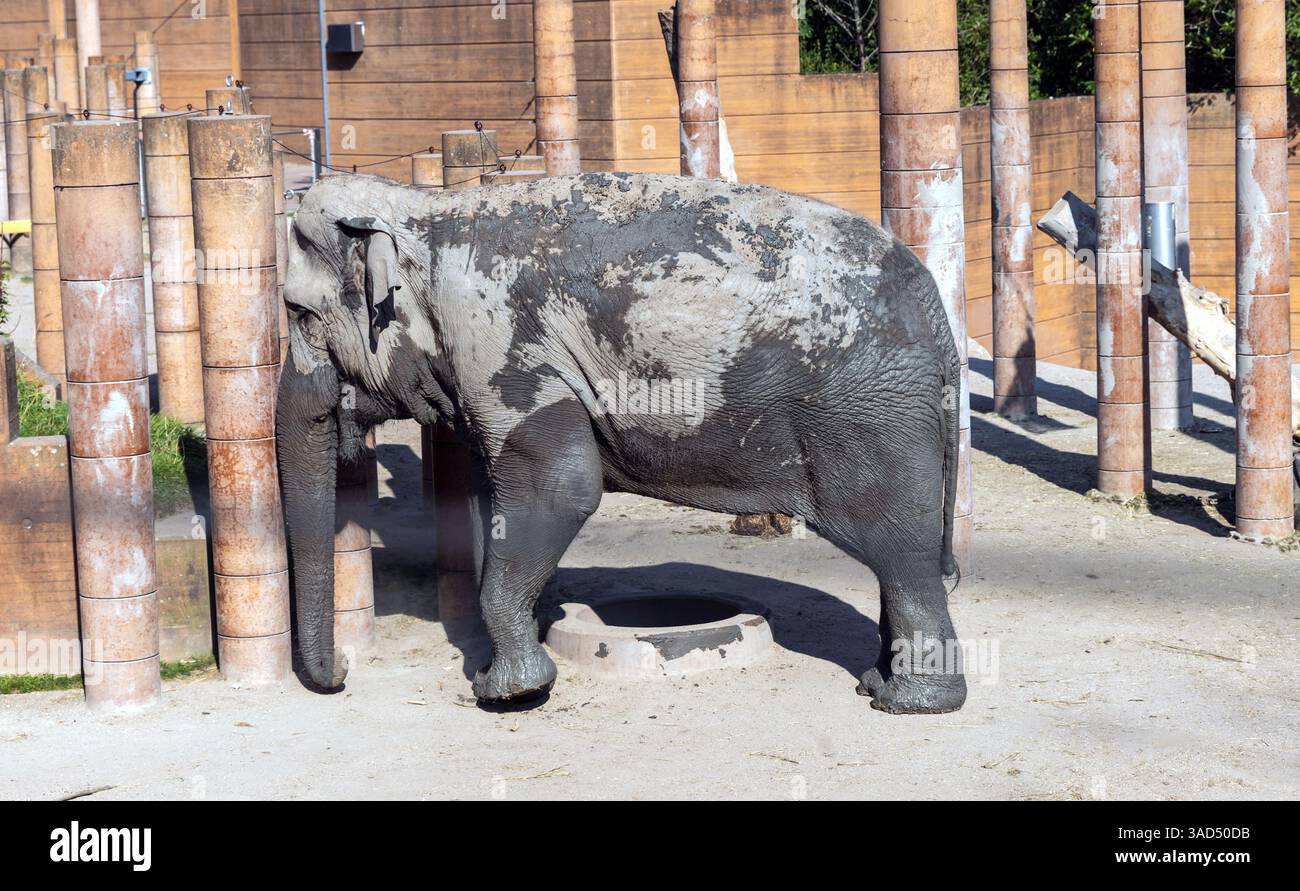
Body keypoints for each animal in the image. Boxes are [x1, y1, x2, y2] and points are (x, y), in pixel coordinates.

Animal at [275, 170, 967, 715]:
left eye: (299, 314)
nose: (342, 674)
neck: (422, 210)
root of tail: (935, 310)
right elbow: (491, 495)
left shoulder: (499, 348)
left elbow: (561, 487)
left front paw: (506, 694)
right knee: (899, 559)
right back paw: (877, 682)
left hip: (871, 416)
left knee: (899, 552)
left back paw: (910, 704)